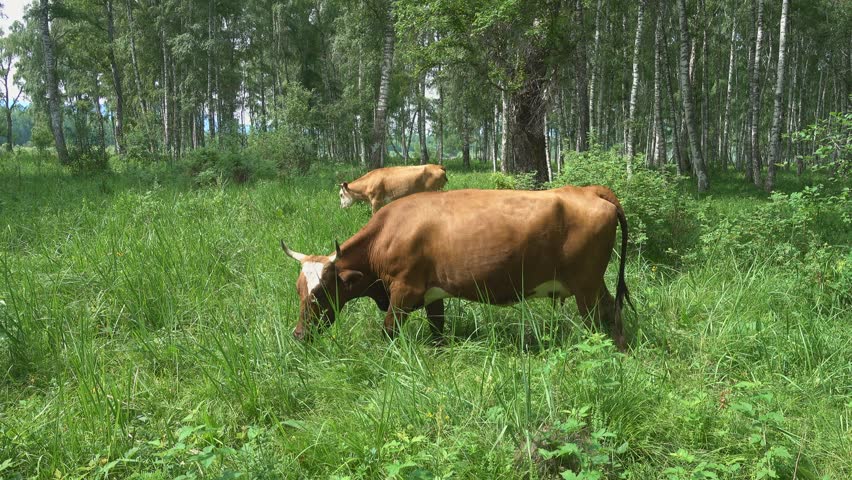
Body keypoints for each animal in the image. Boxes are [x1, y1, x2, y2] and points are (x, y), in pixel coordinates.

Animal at [282, 185, 633, 350]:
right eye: (298, 291)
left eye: (319, 293)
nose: (298, 335)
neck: (386, 232)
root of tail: (587, 189)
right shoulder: (432, 294)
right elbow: (438, 329)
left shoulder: (404, 290)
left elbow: (389, 331)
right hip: (594, 284)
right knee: (612, 312)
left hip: (585, 287)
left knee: (598, 320)